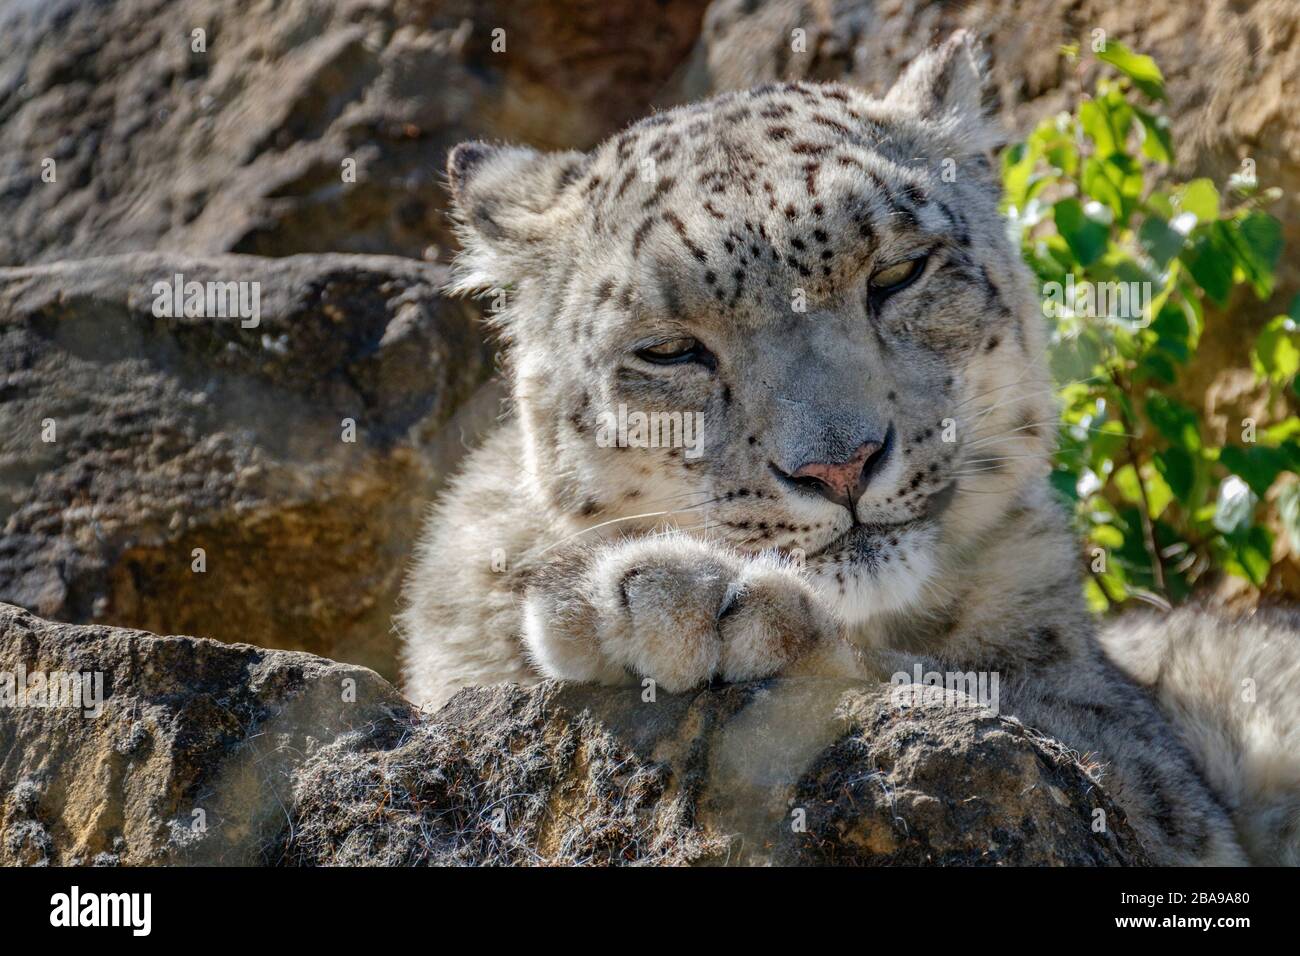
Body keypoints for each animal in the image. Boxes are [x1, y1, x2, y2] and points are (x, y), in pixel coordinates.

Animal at [398, 31, 1300, 866]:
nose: (840, 466)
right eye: (669, 351)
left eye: (899, 271)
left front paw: (699, 603)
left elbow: (976, 698)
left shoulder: (1130, 761)